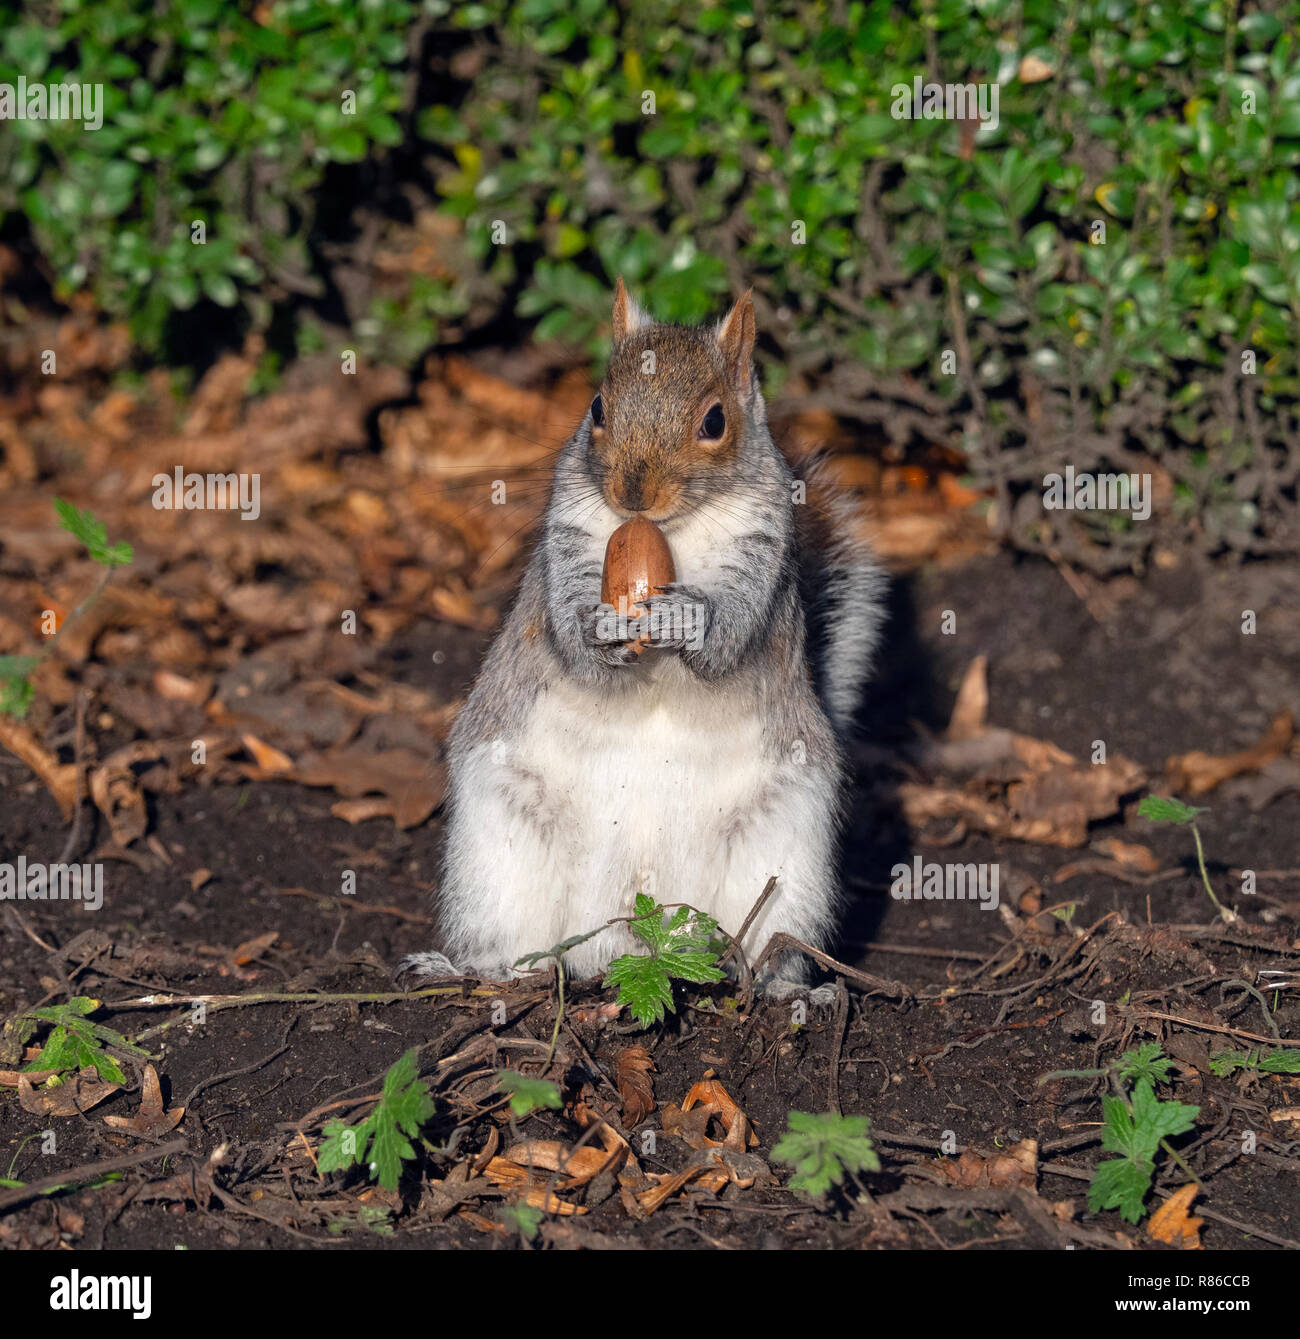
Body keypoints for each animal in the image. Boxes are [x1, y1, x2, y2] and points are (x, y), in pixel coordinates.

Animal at [400, 279, 885, 993]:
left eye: (714, 421)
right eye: (597, 407)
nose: (633, 491)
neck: (673, 531)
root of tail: (632, 938)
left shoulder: (762, 554)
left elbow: (731, 631)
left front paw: (685, 618)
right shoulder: (568, 538)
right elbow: (571, 625)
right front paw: (601, 627)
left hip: (783, 850)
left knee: (770, 939)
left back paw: (783, 986)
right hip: (501, 845)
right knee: (516, 943)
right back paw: (475, 970)